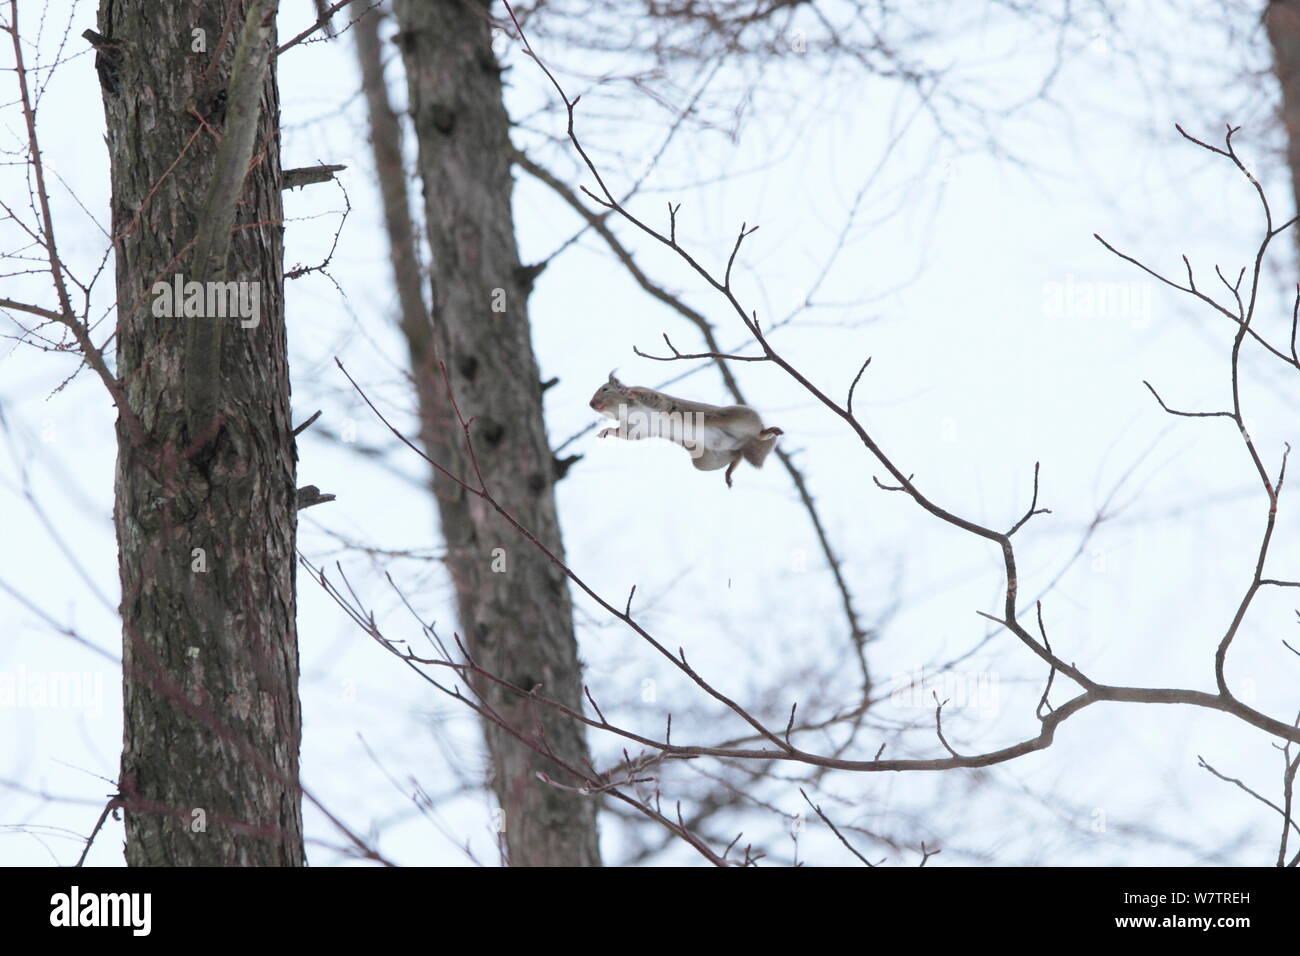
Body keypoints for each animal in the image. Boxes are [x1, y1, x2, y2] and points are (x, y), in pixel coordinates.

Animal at [589, 371, 783, 487]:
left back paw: (768, 432)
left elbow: (650, 397)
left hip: (739, 418)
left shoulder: (656, 400)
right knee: (737, 457)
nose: (591, 404)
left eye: (605, 389)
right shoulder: (635, 427)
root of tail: (742, 444)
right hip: (707, 461)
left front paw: (630, 392)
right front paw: (607, 431)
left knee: (757, 433)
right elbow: (626, 435)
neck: (626, 410)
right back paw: (729, 471)